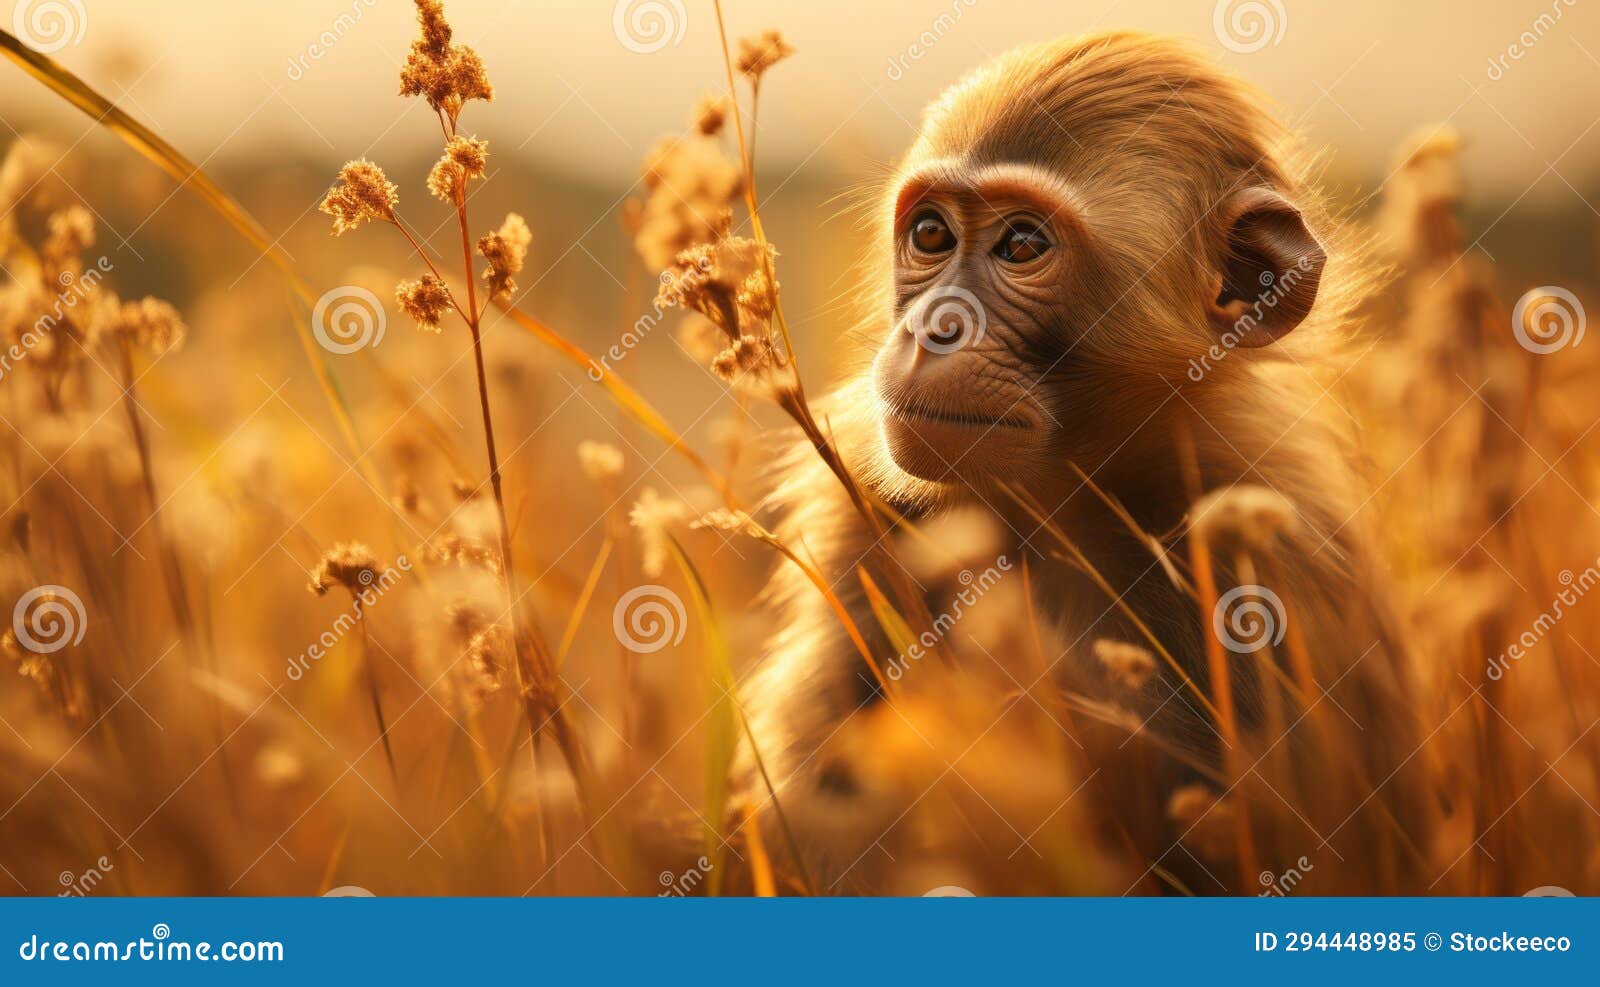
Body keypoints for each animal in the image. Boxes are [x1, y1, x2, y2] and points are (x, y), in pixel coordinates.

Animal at [738, 31, 1430, 893]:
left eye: (1023, 245)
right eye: (931, 235)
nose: (932, 327)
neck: (1074, 500)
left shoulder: (1286, 559)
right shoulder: (862, 507)